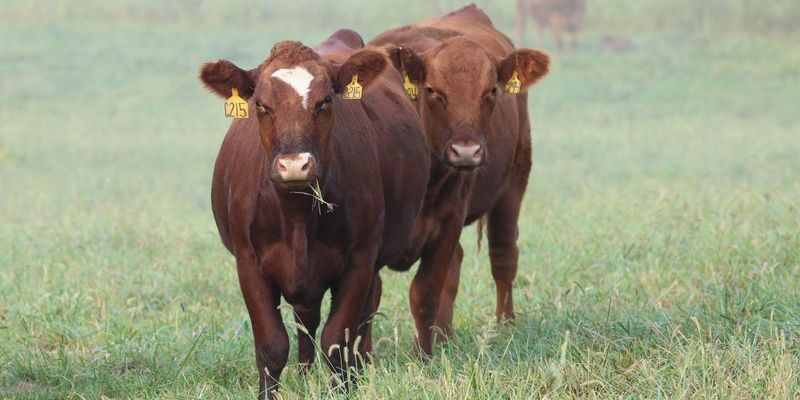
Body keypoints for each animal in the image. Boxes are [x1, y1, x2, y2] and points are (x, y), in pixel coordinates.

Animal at [198, 29, 429, 399]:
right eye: (261, 105)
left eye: (325, 102)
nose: (295, 165)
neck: (296, 215)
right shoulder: (249, 263)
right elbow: (272, 346)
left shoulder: (360, 261)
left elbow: (337, 341)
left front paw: (344, 389)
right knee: (304, 322)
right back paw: (306, 375)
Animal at [370, 4, 550, 355]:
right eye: (432, 90)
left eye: (491, 91)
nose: (466, 151)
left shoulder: (448, 223)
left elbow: (424, 293)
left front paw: (422, 354)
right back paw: (445, 334)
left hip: (514, 182)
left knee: (503, 256)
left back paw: (503, 325)